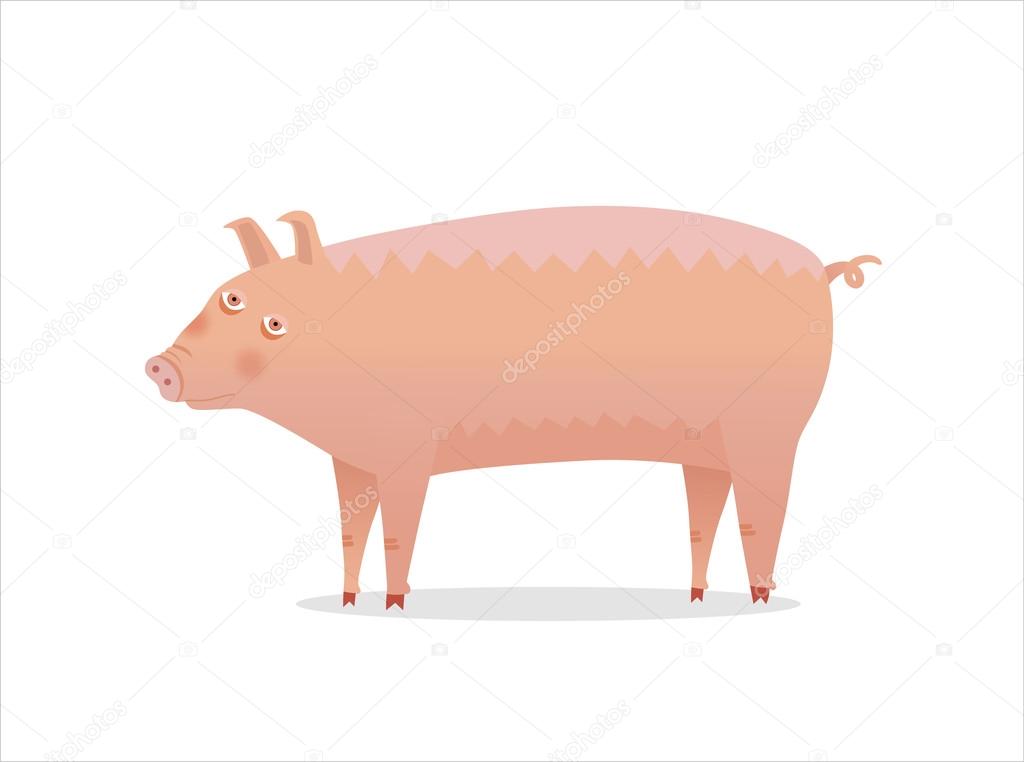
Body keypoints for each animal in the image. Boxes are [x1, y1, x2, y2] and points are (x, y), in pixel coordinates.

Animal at [145, 207, 879, 609]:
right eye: (224, 297)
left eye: (274, 324)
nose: (161, 365)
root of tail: (823, 269)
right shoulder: (350, 456)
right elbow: (352, 527)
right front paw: (350, 600)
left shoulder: (410, 449)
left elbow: (398, 530)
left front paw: (393, 606)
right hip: (704, 445)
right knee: (705, 515)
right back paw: (697, 595)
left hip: (771, 433)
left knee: (764, 512)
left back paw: (757, 598)